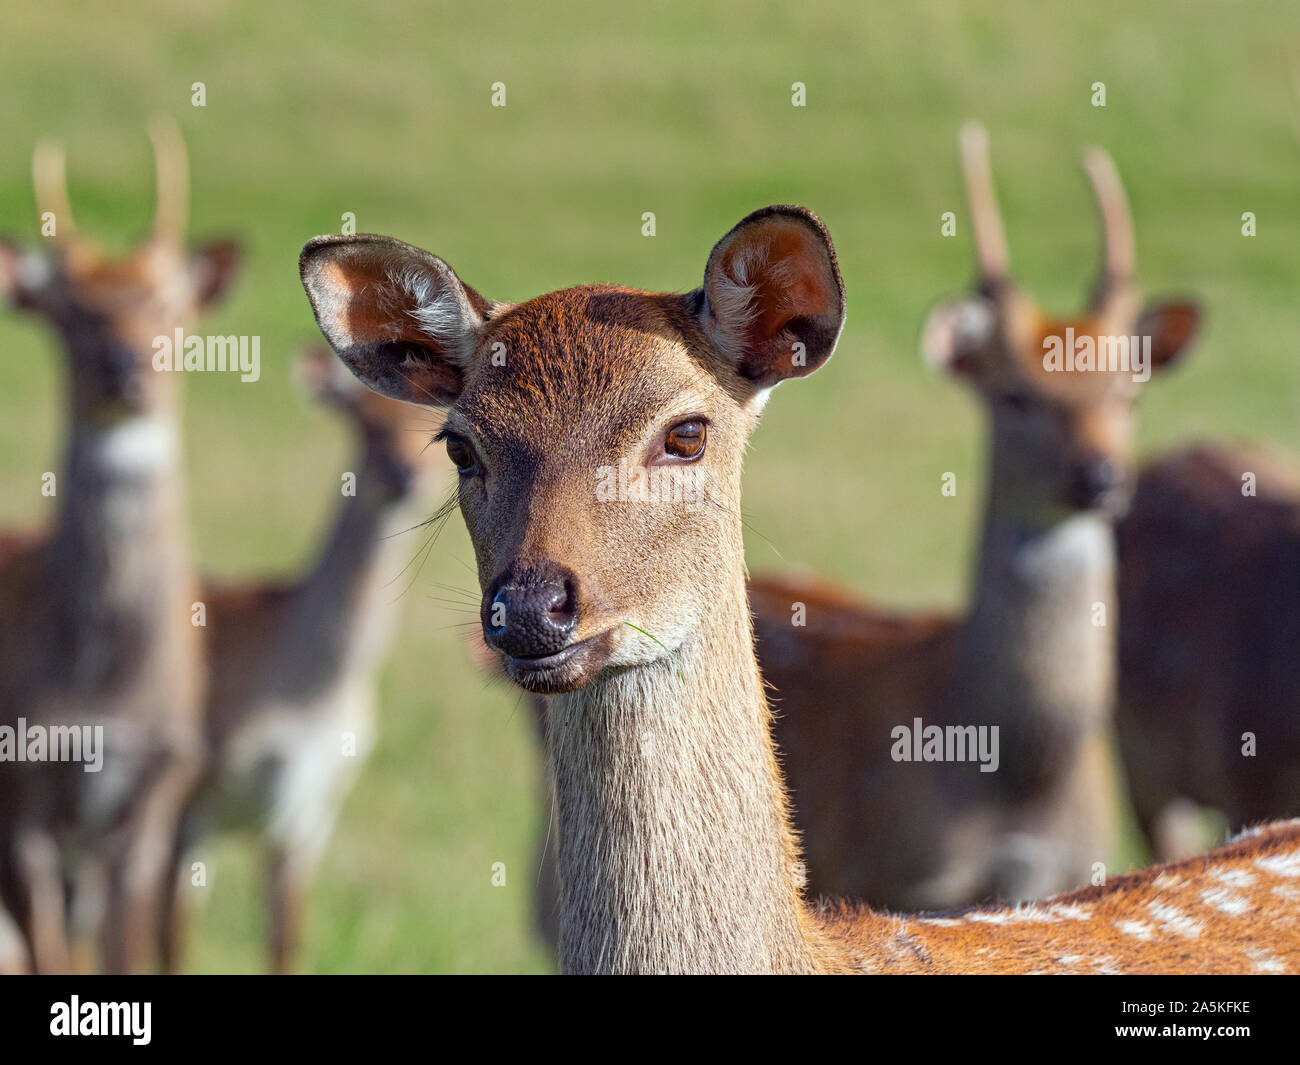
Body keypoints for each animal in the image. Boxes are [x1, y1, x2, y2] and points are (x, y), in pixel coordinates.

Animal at [0, 122, 241, 972]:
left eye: (169, 303)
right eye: (67, 311)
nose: (122, 366)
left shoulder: (155, 793)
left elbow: (124, 949)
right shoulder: (20, 793)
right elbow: (49, 954)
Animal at [158, 348, 448, 974]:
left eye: (434, 428)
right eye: (365, 422)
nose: (407, 476)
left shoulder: (309, 812)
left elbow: (285, 942)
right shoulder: (184, 810)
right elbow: (174, 947)